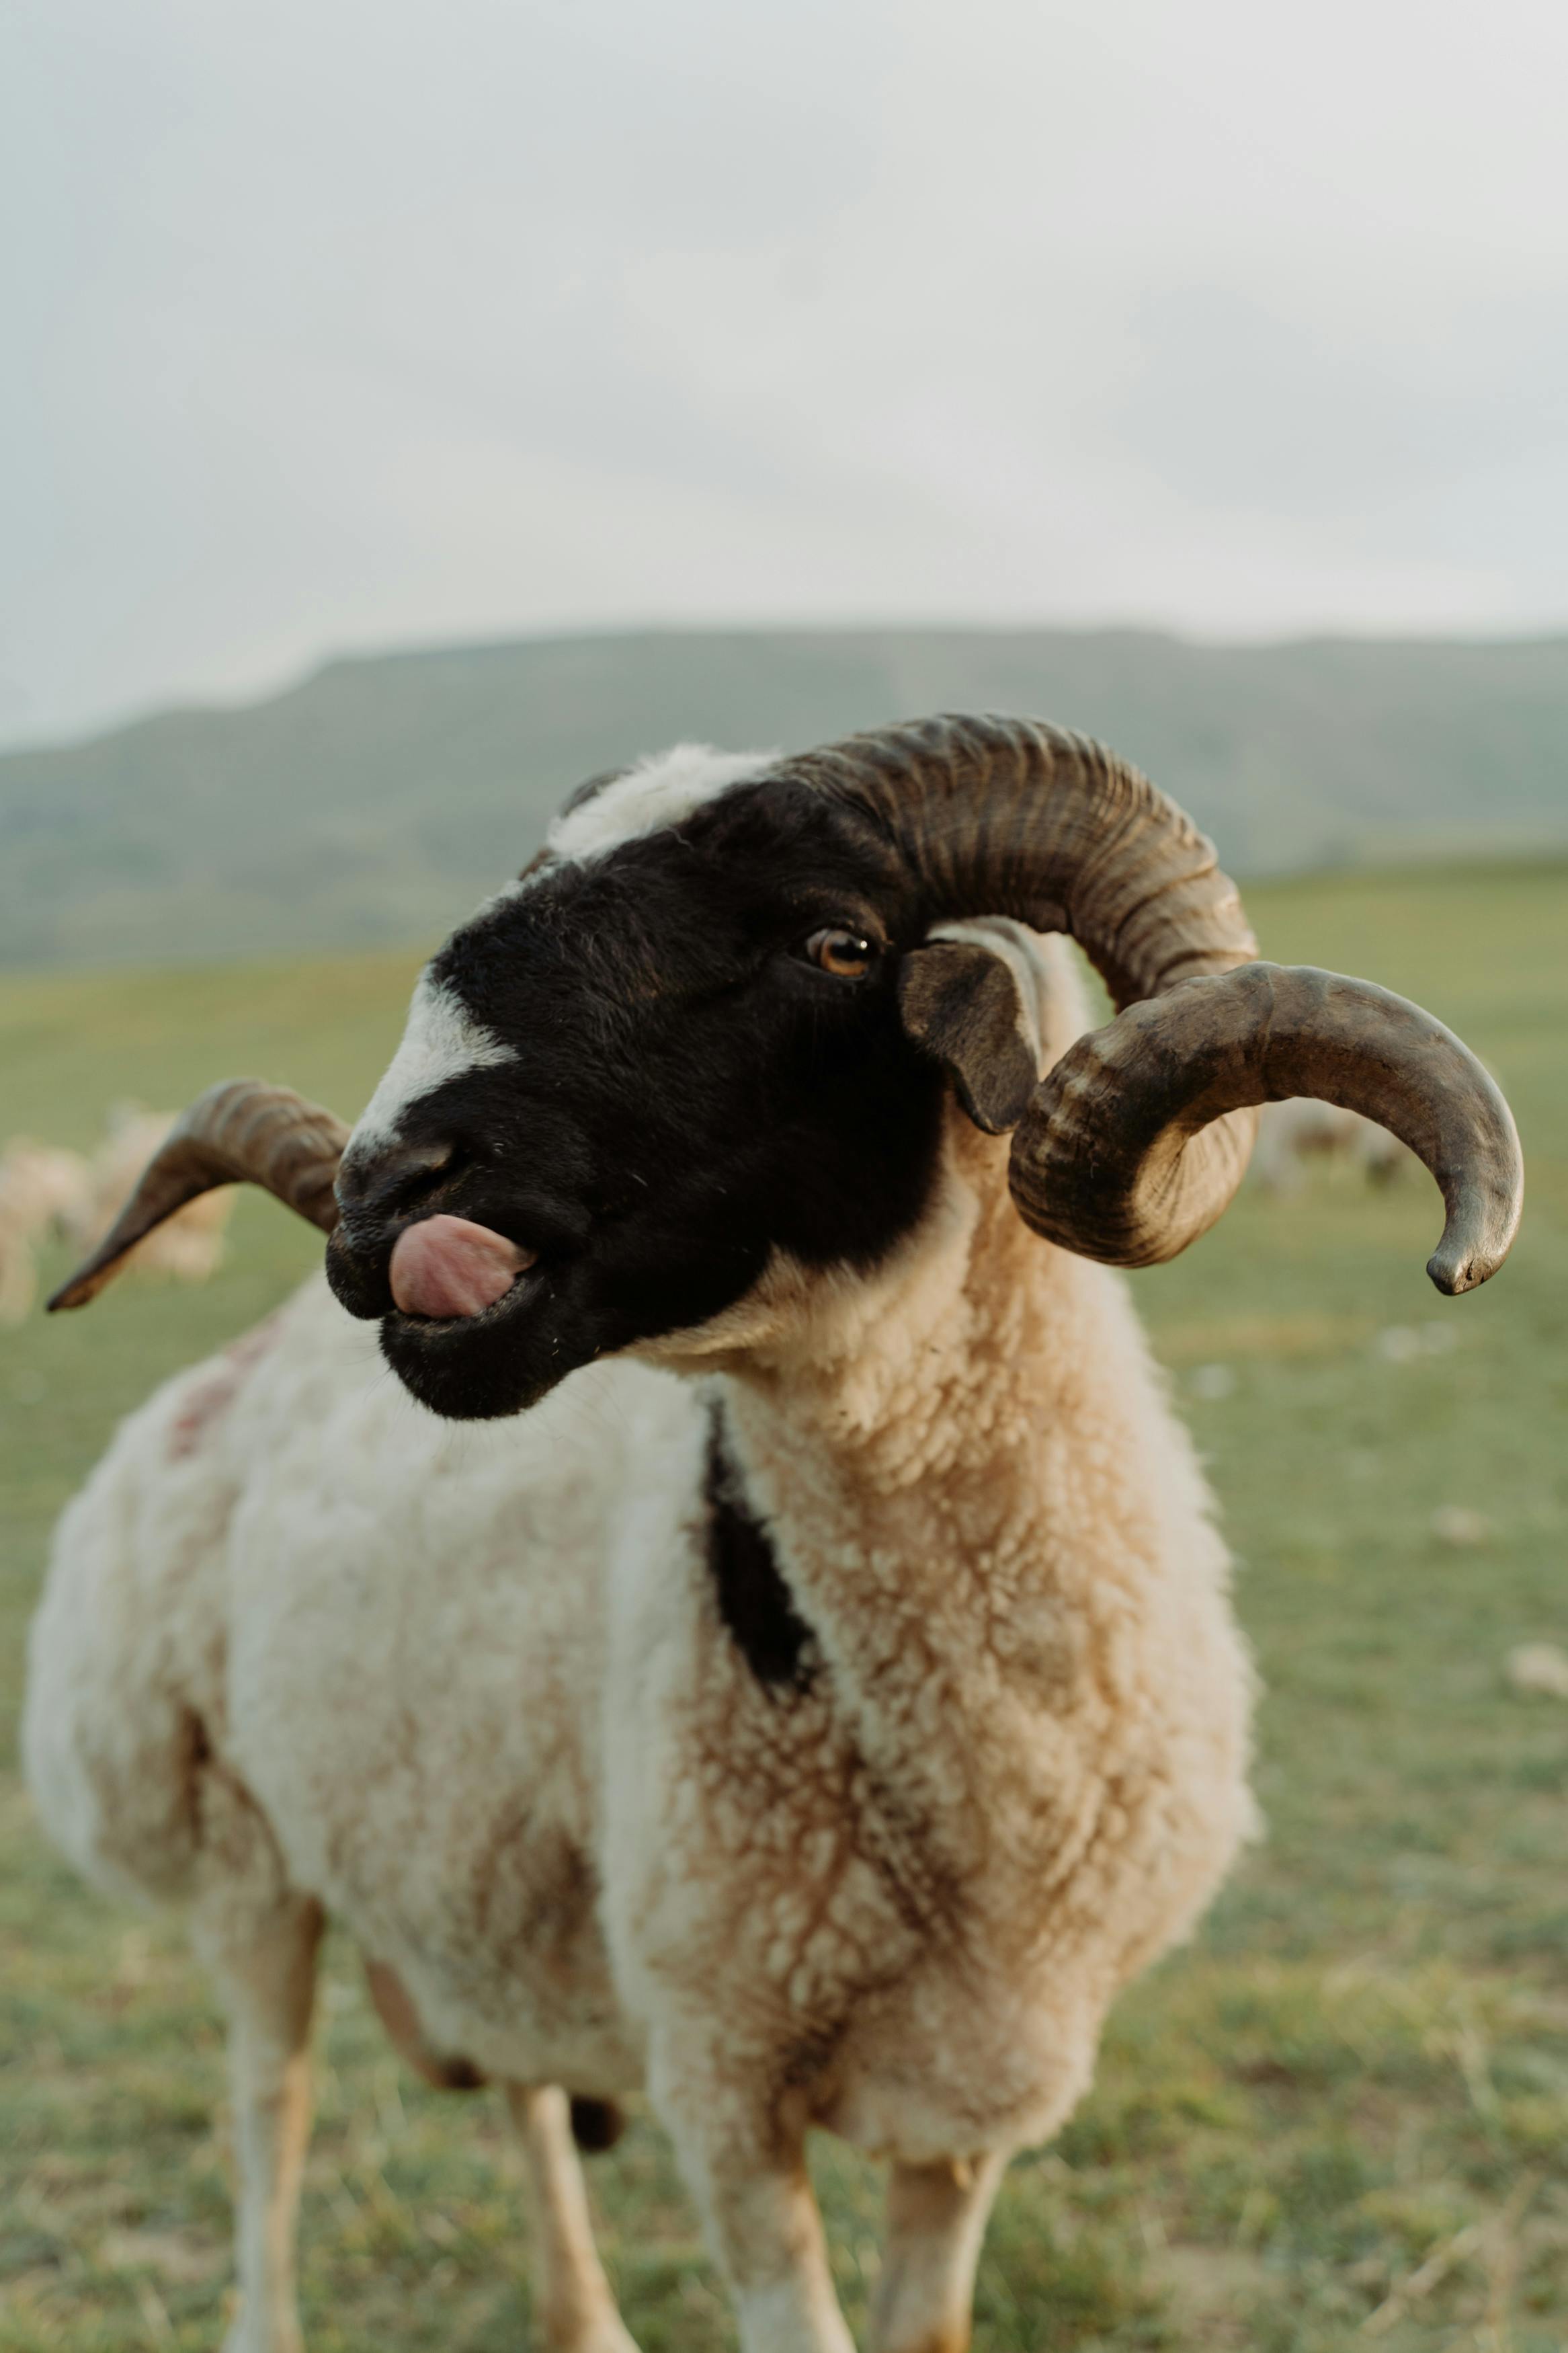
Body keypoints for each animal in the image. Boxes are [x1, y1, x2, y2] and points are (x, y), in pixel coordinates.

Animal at [25, 716, 1521, 2353]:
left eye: (836, 943)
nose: (376, 1202)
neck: (962, 1777)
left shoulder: (976, 2101)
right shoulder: (721, 2077)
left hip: (477, 1874)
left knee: (519, 2092)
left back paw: (583, 2320)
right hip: (241, 1859)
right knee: (269, 2113)